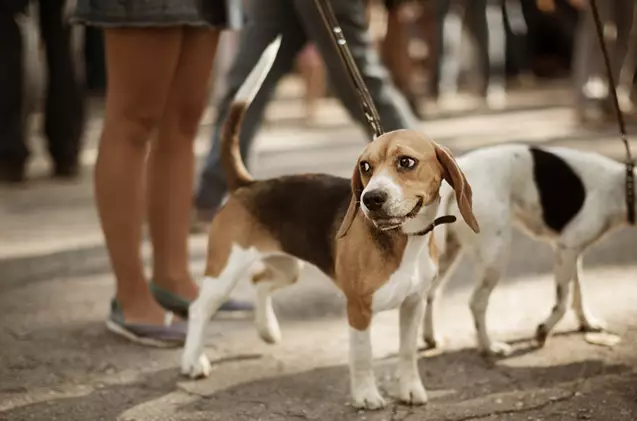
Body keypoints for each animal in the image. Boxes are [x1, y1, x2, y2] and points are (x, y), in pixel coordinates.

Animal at [179, 37, 476, 408]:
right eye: (365, 166)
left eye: (406, 162)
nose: (370, 199)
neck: (403, 241)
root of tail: (248, 184)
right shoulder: (358, 309)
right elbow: (362, 356)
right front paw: (366, 396)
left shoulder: (413, 305)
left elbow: (407, 353)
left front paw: (410, 390)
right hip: (224, 270)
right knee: (198, 309)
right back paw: (192, 361)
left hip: (288, 268)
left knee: (260, 280)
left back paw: (267, 330)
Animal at [420, 143, 632, 356]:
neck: (623, 187)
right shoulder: (567, 249)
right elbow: (563, 301)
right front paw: (543, 331)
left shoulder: (573, 253)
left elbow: (578, 292)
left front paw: (587, 322)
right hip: (496, 255)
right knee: (477, 302)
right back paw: (489, 346)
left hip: (449, 253)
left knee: (431, 293)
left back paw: (431, 338)